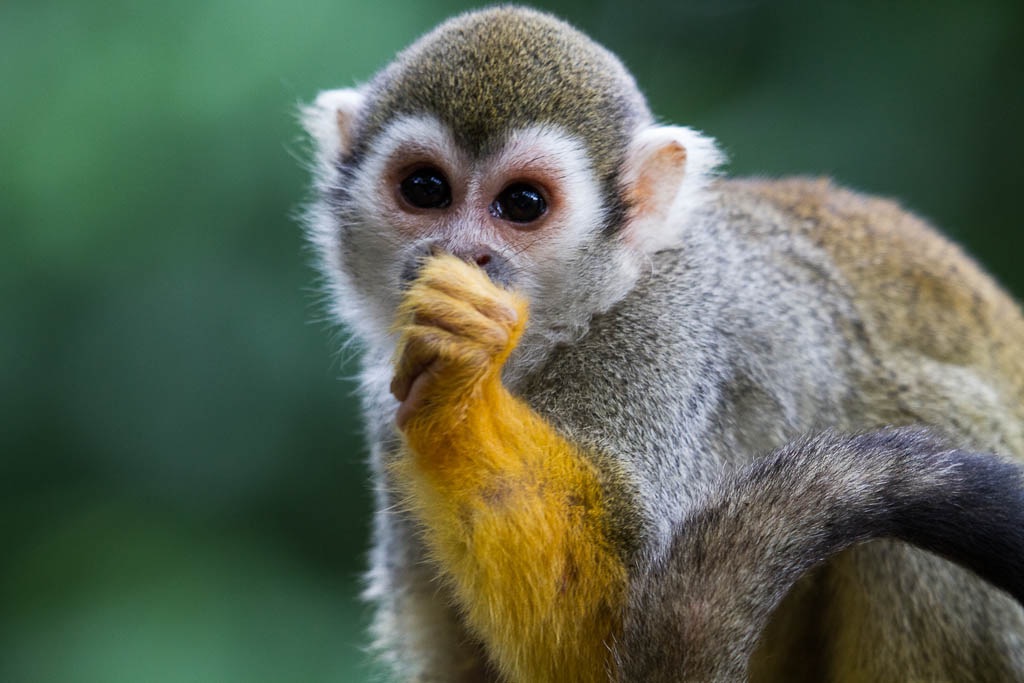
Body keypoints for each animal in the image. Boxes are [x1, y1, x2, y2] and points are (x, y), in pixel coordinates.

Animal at [300, 6, 1024, 682]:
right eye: (424, 189)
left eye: (523, 203)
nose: (464, 254)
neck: (579, 317)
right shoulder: (385, 403)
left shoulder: (668, 336)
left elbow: (605, 625)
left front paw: (463, 376)